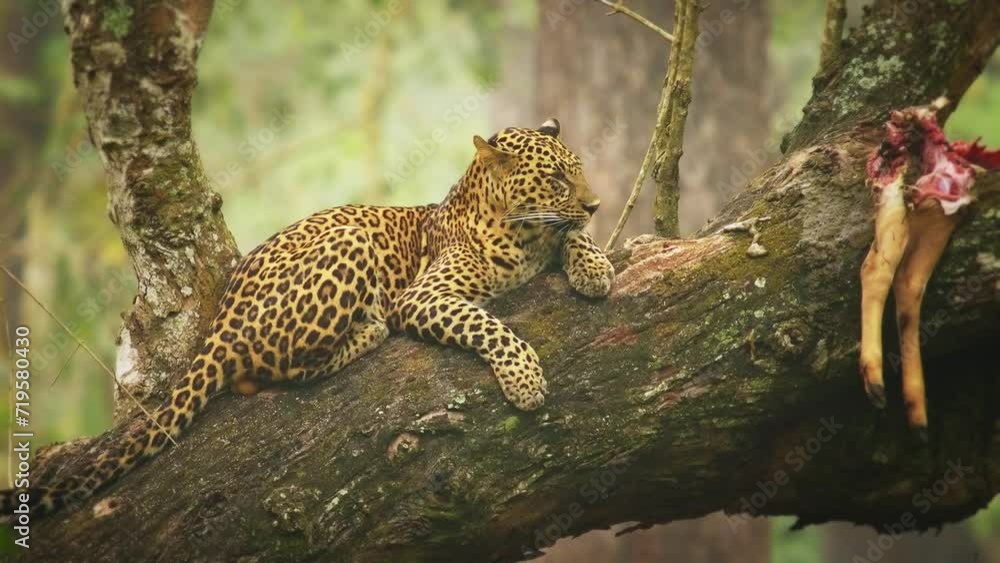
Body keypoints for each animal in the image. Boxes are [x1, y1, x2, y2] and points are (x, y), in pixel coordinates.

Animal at [1, 118, 615, 518]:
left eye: (580, 174)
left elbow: (575, 241)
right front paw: (525, 380)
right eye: (556, 179)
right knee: (278, 369)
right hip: (348, 244)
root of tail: (220, 319)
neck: (523, 234)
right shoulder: (424, 295)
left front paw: (595, 267)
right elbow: (489, 326)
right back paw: (367, 330)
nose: (595, 204)